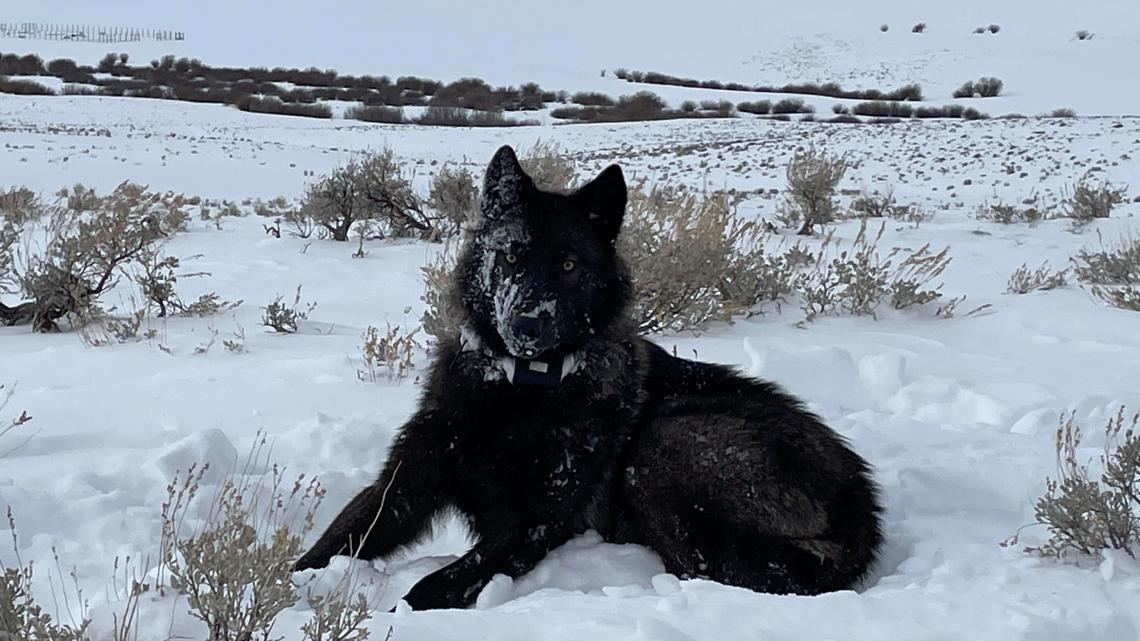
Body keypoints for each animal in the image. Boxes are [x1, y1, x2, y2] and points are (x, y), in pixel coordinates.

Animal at [294, 145, 883, 609]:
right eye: (511, 256)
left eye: (570, 265)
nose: (527, 323)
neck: (520, 393)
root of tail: (861, 504)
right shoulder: (405, 485)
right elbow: (329, 546)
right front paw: (287, 591)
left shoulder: (534, 524)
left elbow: (433, 587)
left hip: (665, 444)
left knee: (709, 567)